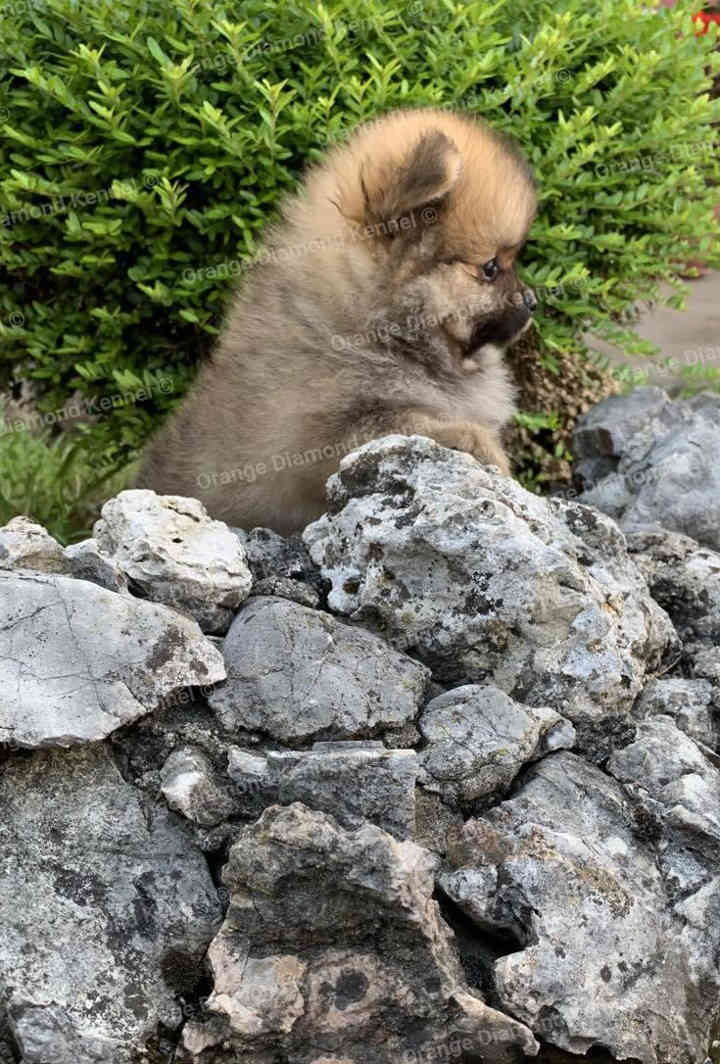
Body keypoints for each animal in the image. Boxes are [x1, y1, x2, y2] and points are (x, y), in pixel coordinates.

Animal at [137, 105, 536, 529]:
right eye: (490, 268)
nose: (532, 301)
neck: (374, 328)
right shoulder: (320, 443)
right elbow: (413, 423)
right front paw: (479, 442)